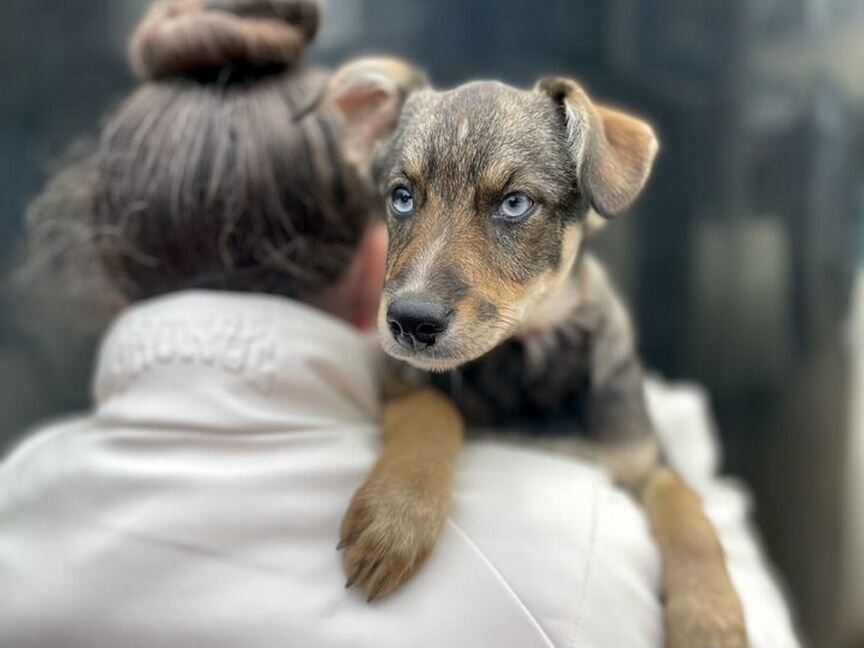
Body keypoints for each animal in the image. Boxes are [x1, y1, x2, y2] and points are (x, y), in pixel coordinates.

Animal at [320, 57, 744, 648]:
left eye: (515, 204)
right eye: (402, 196)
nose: (409, 322)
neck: (527, 358)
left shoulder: (643, 458)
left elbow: (689, 513)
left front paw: (711, 618)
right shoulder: (400, 375)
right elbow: (433, 410)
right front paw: (396, 516)